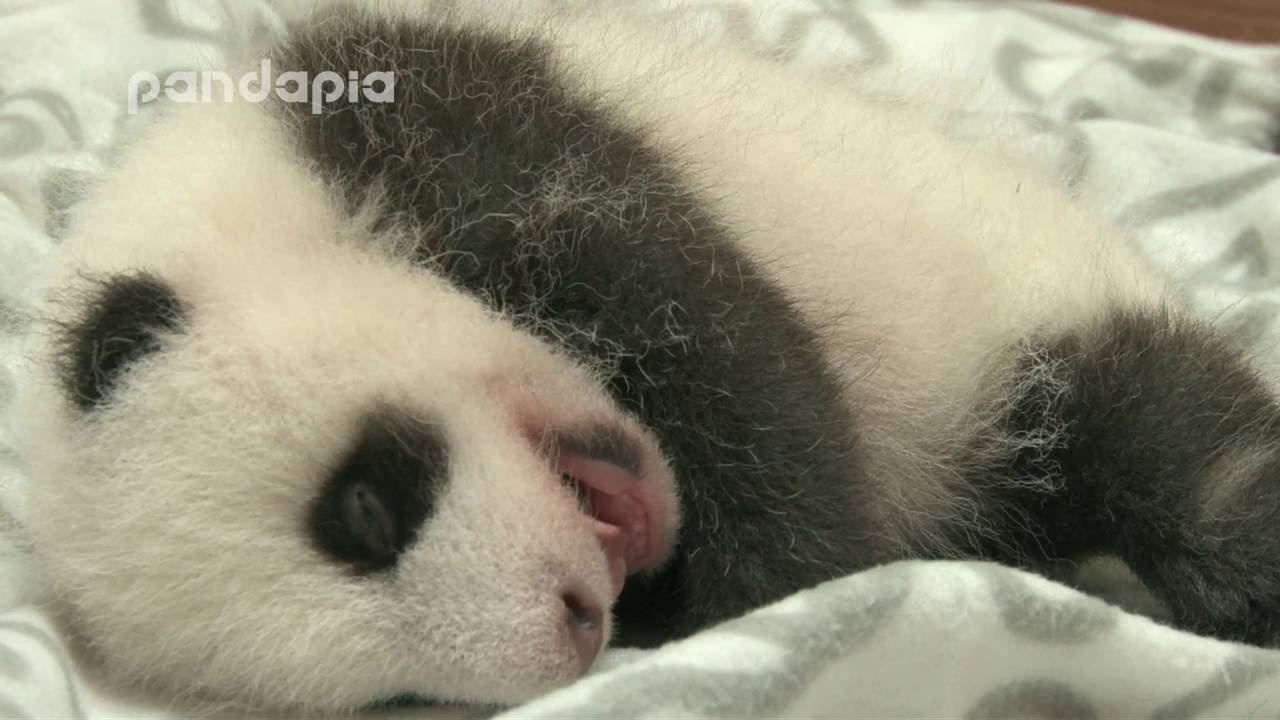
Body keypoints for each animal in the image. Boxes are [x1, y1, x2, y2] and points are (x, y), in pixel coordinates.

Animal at [7, 0, 1280, 713]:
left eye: (366, 505)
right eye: (391, 696)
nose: (576, 622)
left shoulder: (455, 125)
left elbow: (729, 354)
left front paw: (786, 591)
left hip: (1032, 315)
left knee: (1191, 469)